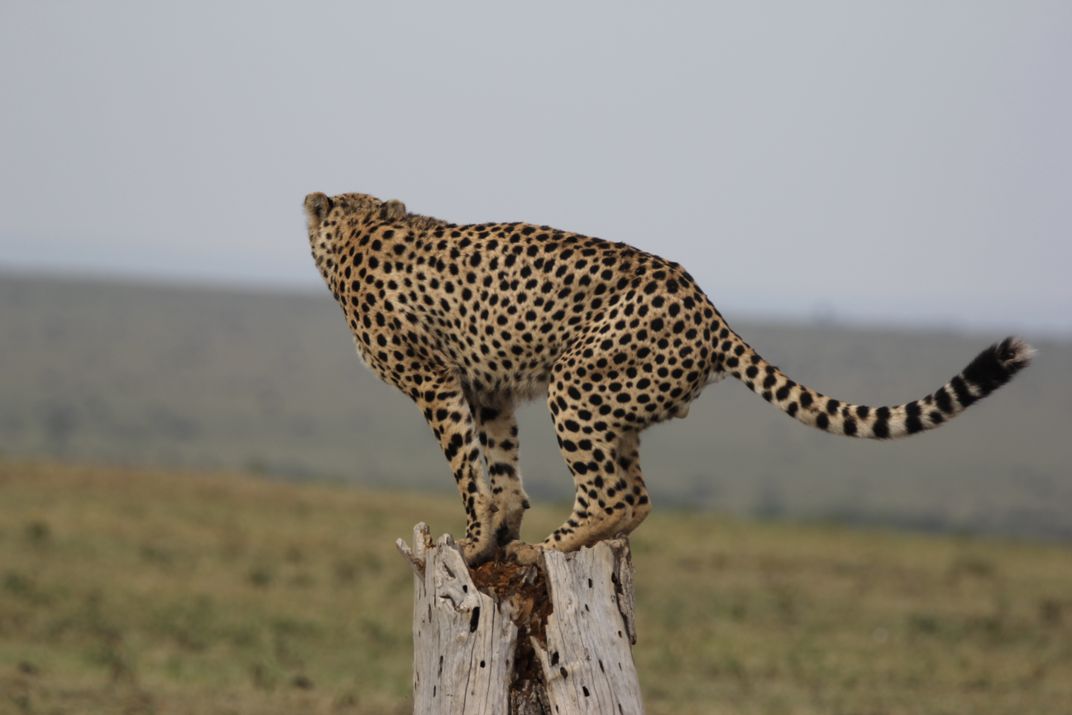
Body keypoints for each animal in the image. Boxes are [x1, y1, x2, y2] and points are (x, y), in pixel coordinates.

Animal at [304, 191, 1034, 566]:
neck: (361, 230)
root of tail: (704, 302)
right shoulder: (488, 389)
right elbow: (502, 468)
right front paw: (497, 532)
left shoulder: (437, 384)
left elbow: (467, 469)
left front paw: (479, 538)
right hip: (619, 400)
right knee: (637, 496)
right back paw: (581, 544)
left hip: (578, 384)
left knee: (608, 494)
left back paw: (549, 547)